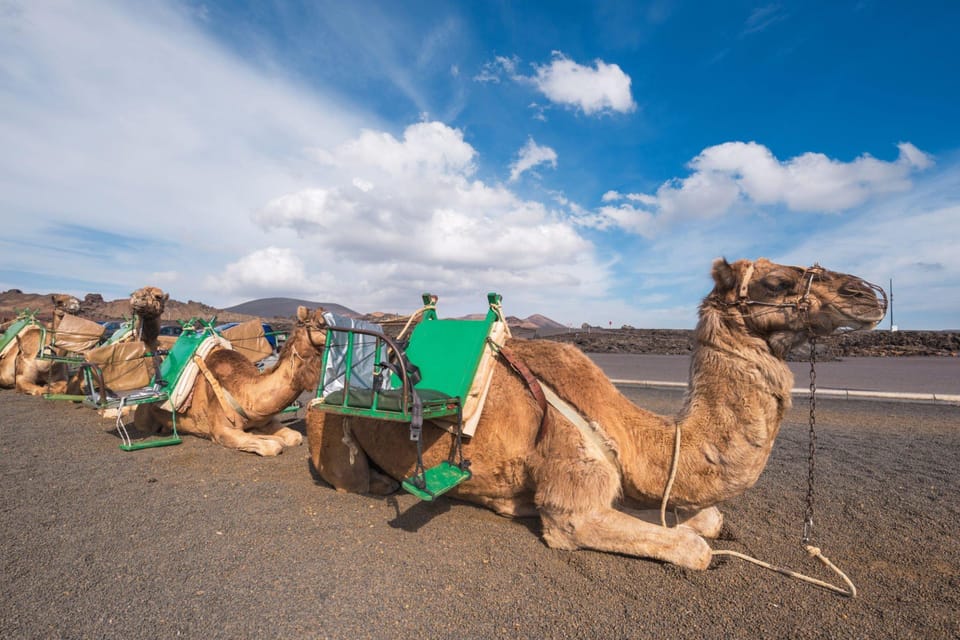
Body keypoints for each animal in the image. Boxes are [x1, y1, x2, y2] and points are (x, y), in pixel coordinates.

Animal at [132, 307, 326, 456]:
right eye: (321, 323)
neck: (245, 393)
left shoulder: (266, 420)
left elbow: (295, 437)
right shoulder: (222, 431)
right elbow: (273, 446)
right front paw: (268, 438)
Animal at [306, 258, 886, 569]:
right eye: (776, 284)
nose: (869, 293)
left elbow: (702, 518)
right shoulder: (572, 505)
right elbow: (692, 547)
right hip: (327, 423)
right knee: (346, 471)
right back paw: (381, 483)